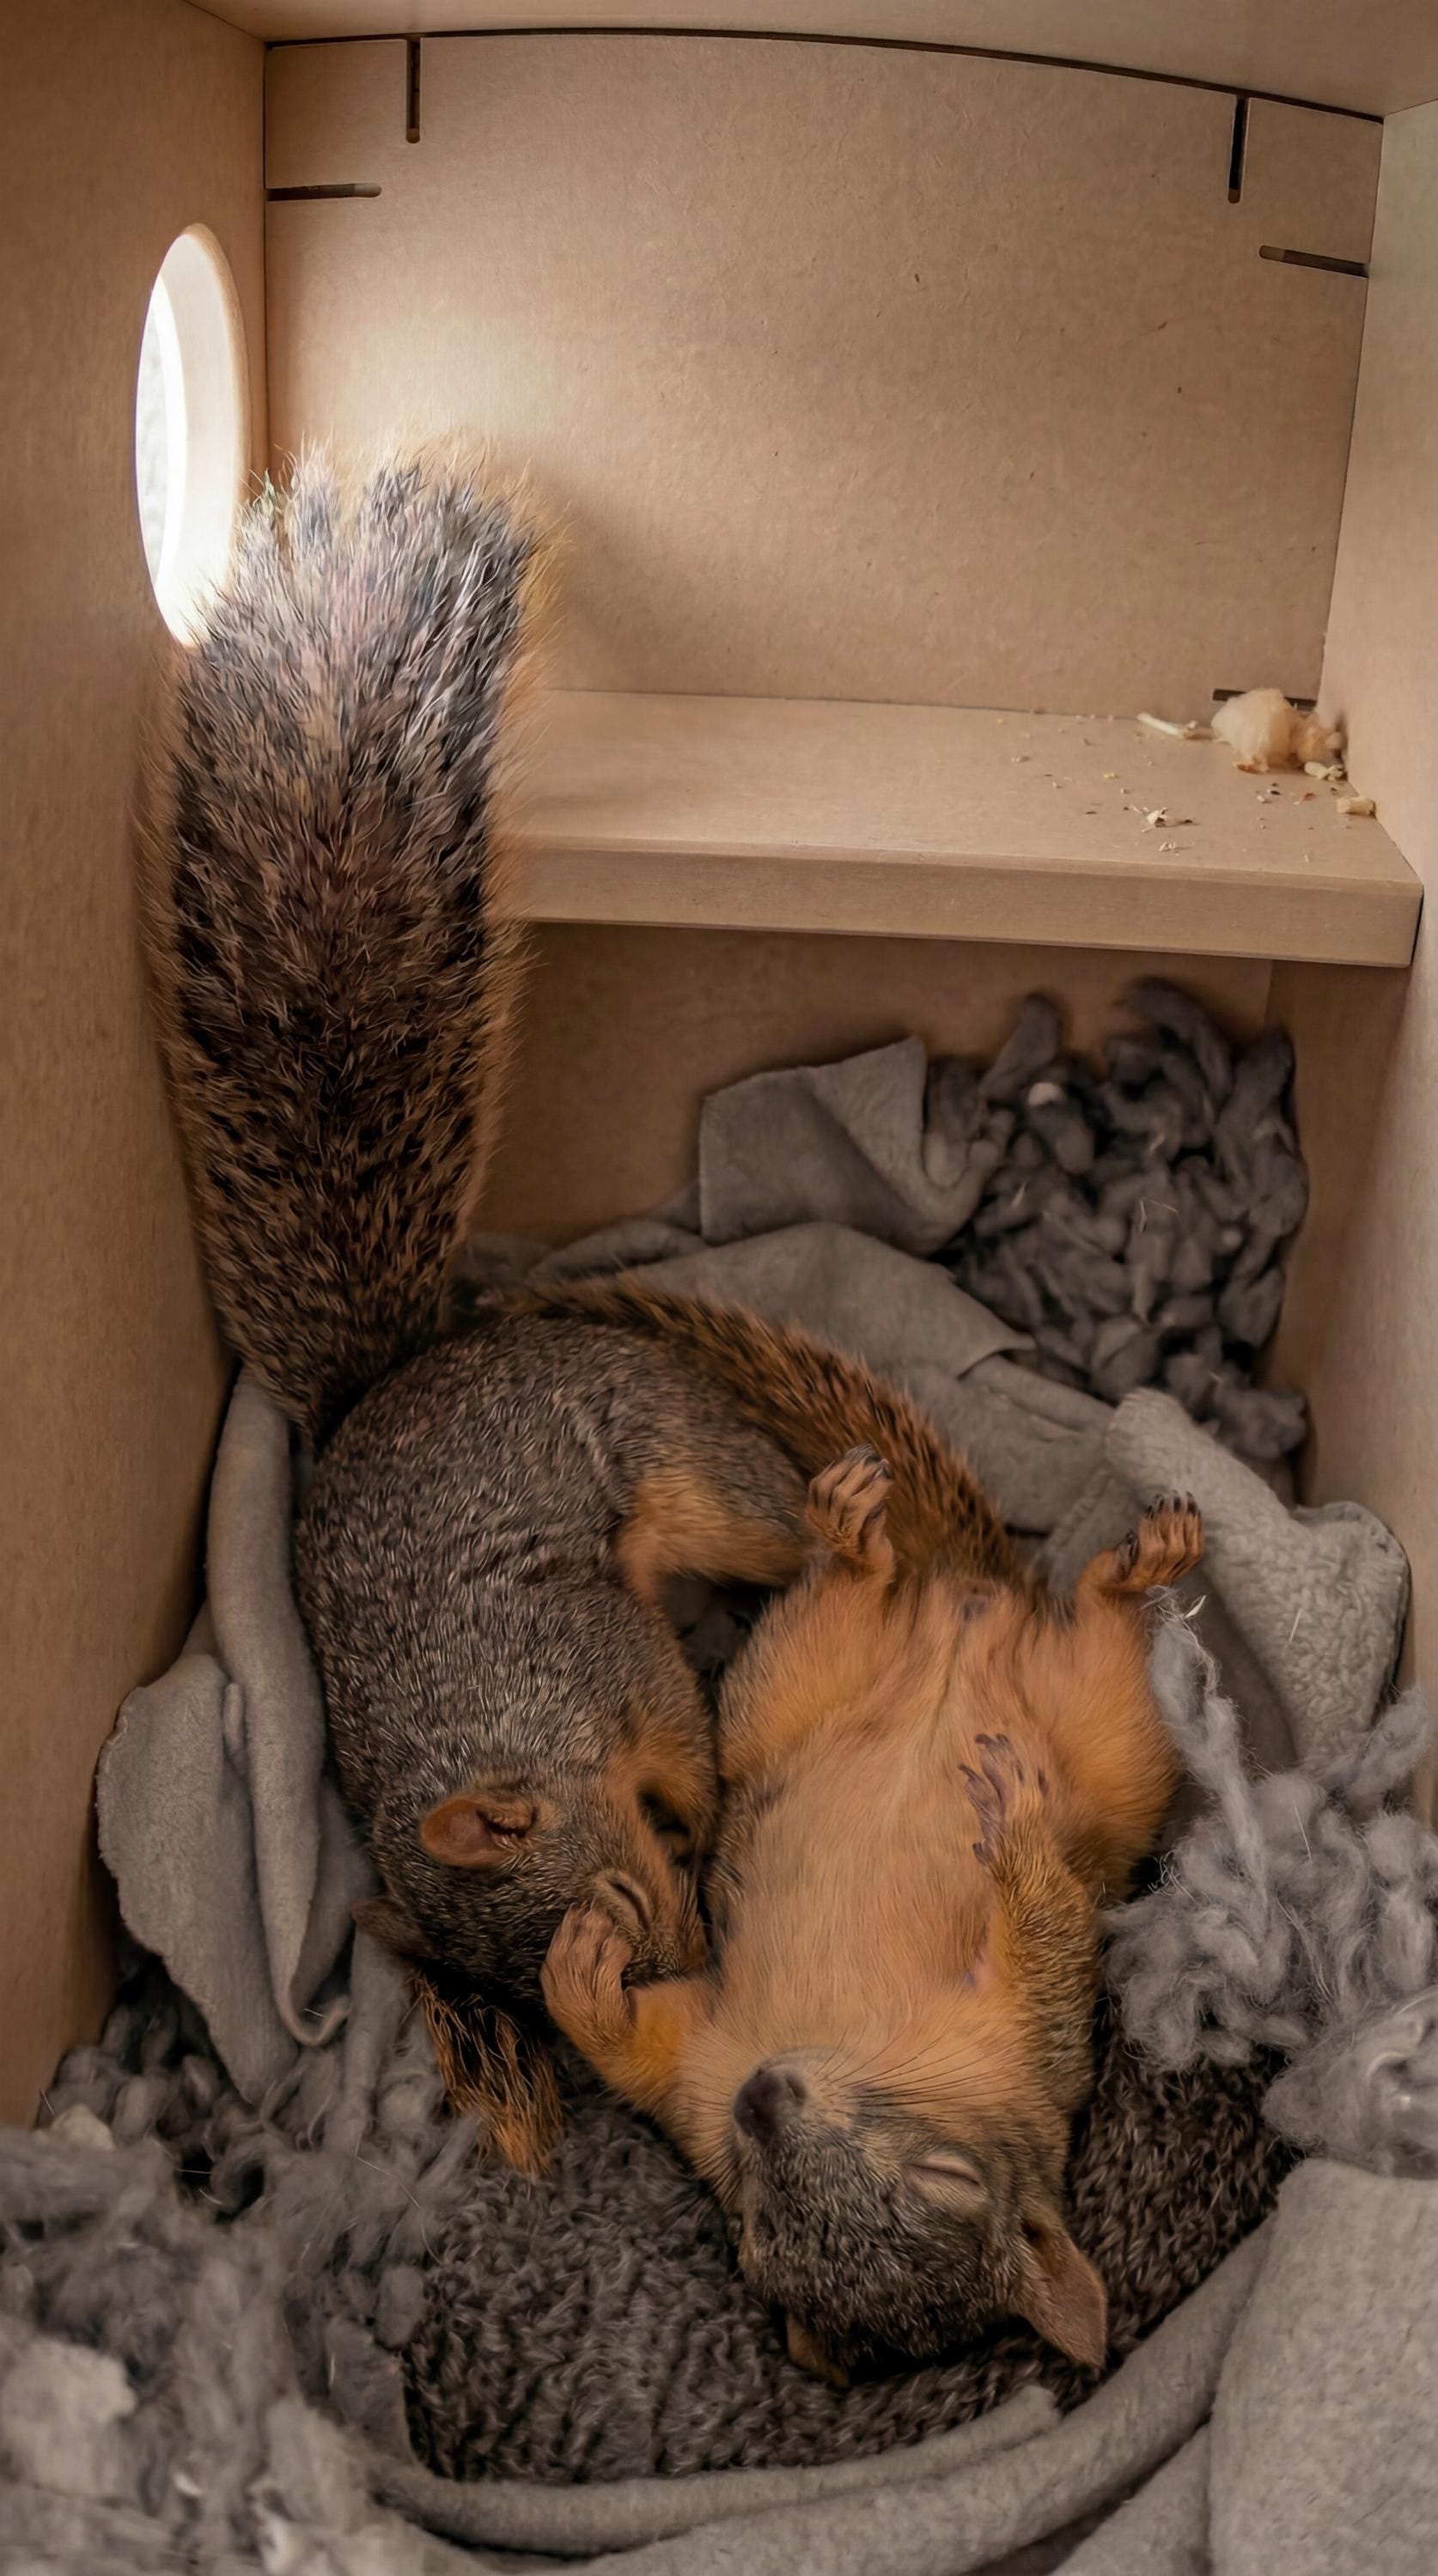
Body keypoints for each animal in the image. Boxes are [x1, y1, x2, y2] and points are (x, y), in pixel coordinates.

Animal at [138, 452, 1017, 2165]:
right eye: (536, 1981)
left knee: (769, 1518)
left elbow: (690, 1731)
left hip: (681, 1459)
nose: (677, 1964)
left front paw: (721, 1810)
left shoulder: (609, 1665)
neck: (505, 1735)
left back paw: (842, 1526)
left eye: (608, 1899)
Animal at [542, 1448, 1197, 2379]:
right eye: (757, 2226)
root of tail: (968, 1613)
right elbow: (649, 2046)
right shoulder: (703, 2084)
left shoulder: (1038, 2036)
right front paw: (581, 1976)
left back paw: (1136, 1569)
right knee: (855, 1598)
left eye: (949, 2178)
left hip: (1119, 1736)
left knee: (1107, 1638)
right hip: (791, 1680)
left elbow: (1052, 1932)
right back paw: (857, 1537)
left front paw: (1017, 1829)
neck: (852, 2047)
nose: (762, 2096)